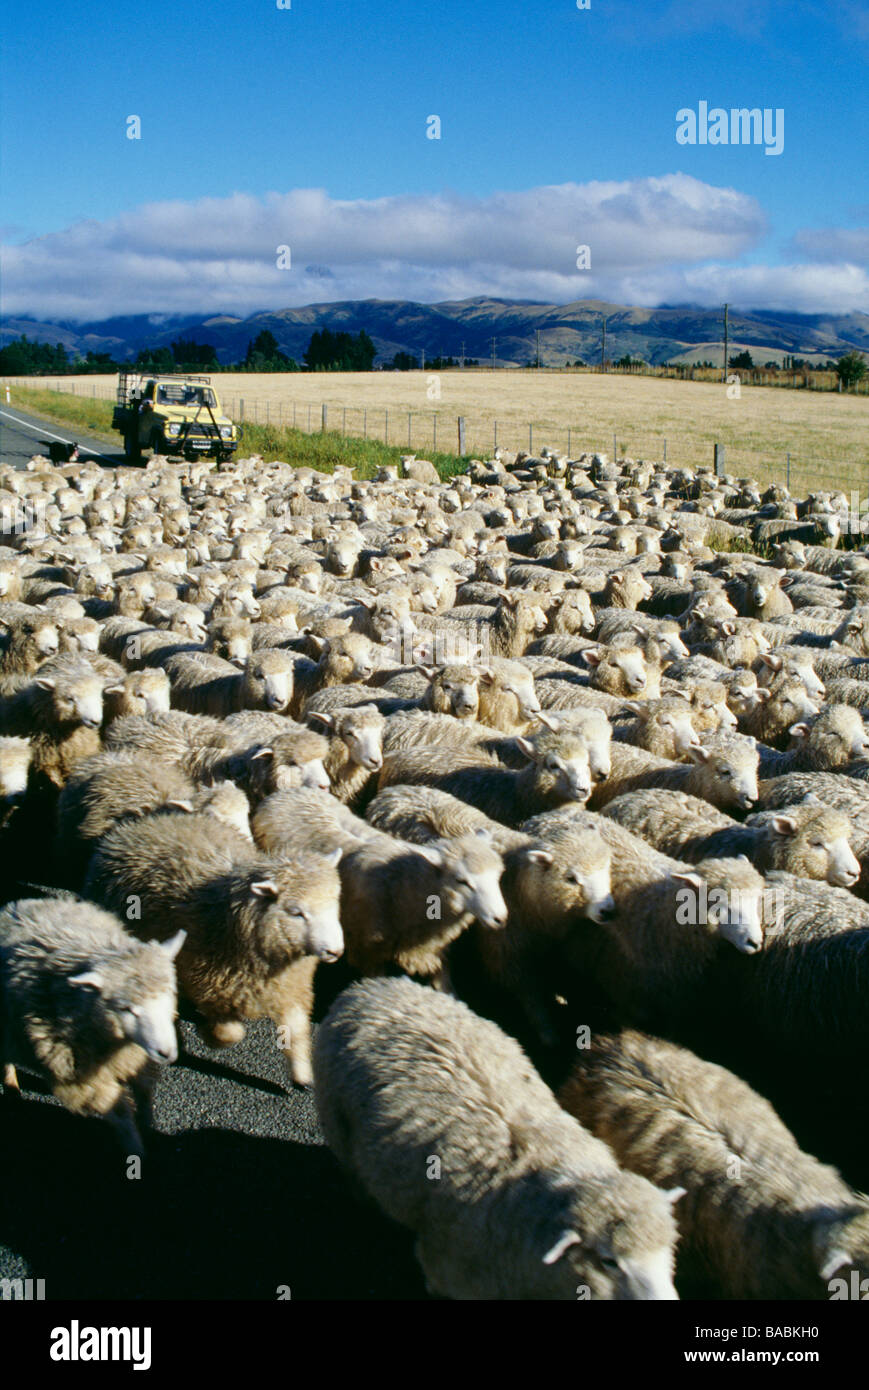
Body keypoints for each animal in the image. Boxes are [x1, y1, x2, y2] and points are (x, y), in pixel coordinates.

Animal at [0, 896, 184, 1156]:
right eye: (126, 1009)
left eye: (171, 992)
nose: (167, 1053)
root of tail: (12, 906)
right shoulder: (83, 1080)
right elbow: (119, 1112)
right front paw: (136, 1148)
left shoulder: (135, 1058)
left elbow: (145, 1091)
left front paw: (148, 1126)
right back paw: (11, 1088)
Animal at [84, 811, 344, 1088]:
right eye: (296, 912)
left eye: (335, 902)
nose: (336, 951)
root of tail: (139, 823)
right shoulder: (211, 990)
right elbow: (231, 1032)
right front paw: (209, 1035)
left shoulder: (289, 989)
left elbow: (295, 1031)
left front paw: (302, 1074)